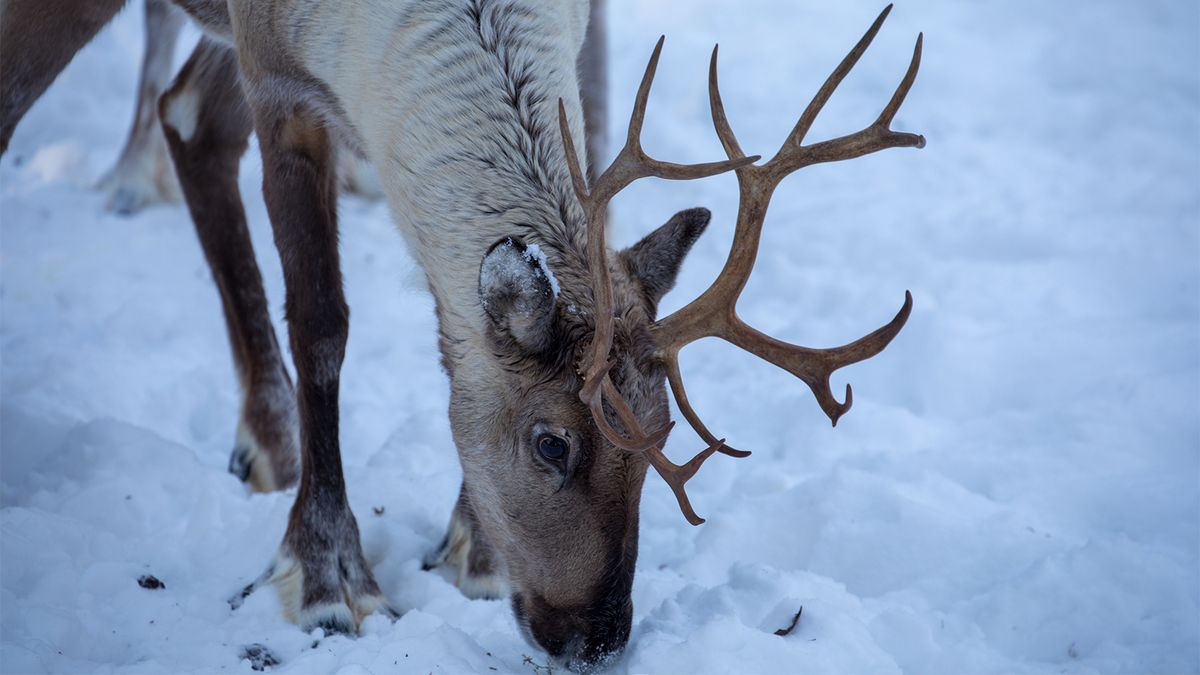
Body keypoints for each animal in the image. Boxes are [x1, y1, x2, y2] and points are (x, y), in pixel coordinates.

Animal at [0, 0, 923, 669]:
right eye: (551, 443)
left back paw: (267, 437)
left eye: (662, 432)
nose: (595, 640)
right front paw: (330, 574)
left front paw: (473, 547)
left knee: (189, 117)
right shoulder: (278, 73)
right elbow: (323, 325)